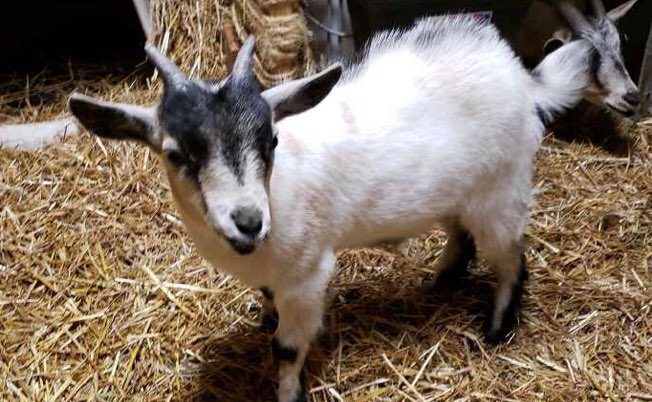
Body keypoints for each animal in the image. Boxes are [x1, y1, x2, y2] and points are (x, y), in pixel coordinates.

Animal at [68, 1, 638, 400]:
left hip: (501, 193)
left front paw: (290, 391)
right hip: (458, 193)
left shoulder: (307, 275)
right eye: (175, 152)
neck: (278, 191)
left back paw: (498, 328)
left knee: (511, 259)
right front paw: (264, 319)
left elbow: (287, 347)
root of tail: (523, 79)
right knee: (462, 237)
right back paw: (441, 282)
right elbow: (269, 308)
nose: (248, 222)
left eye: (271, 140)